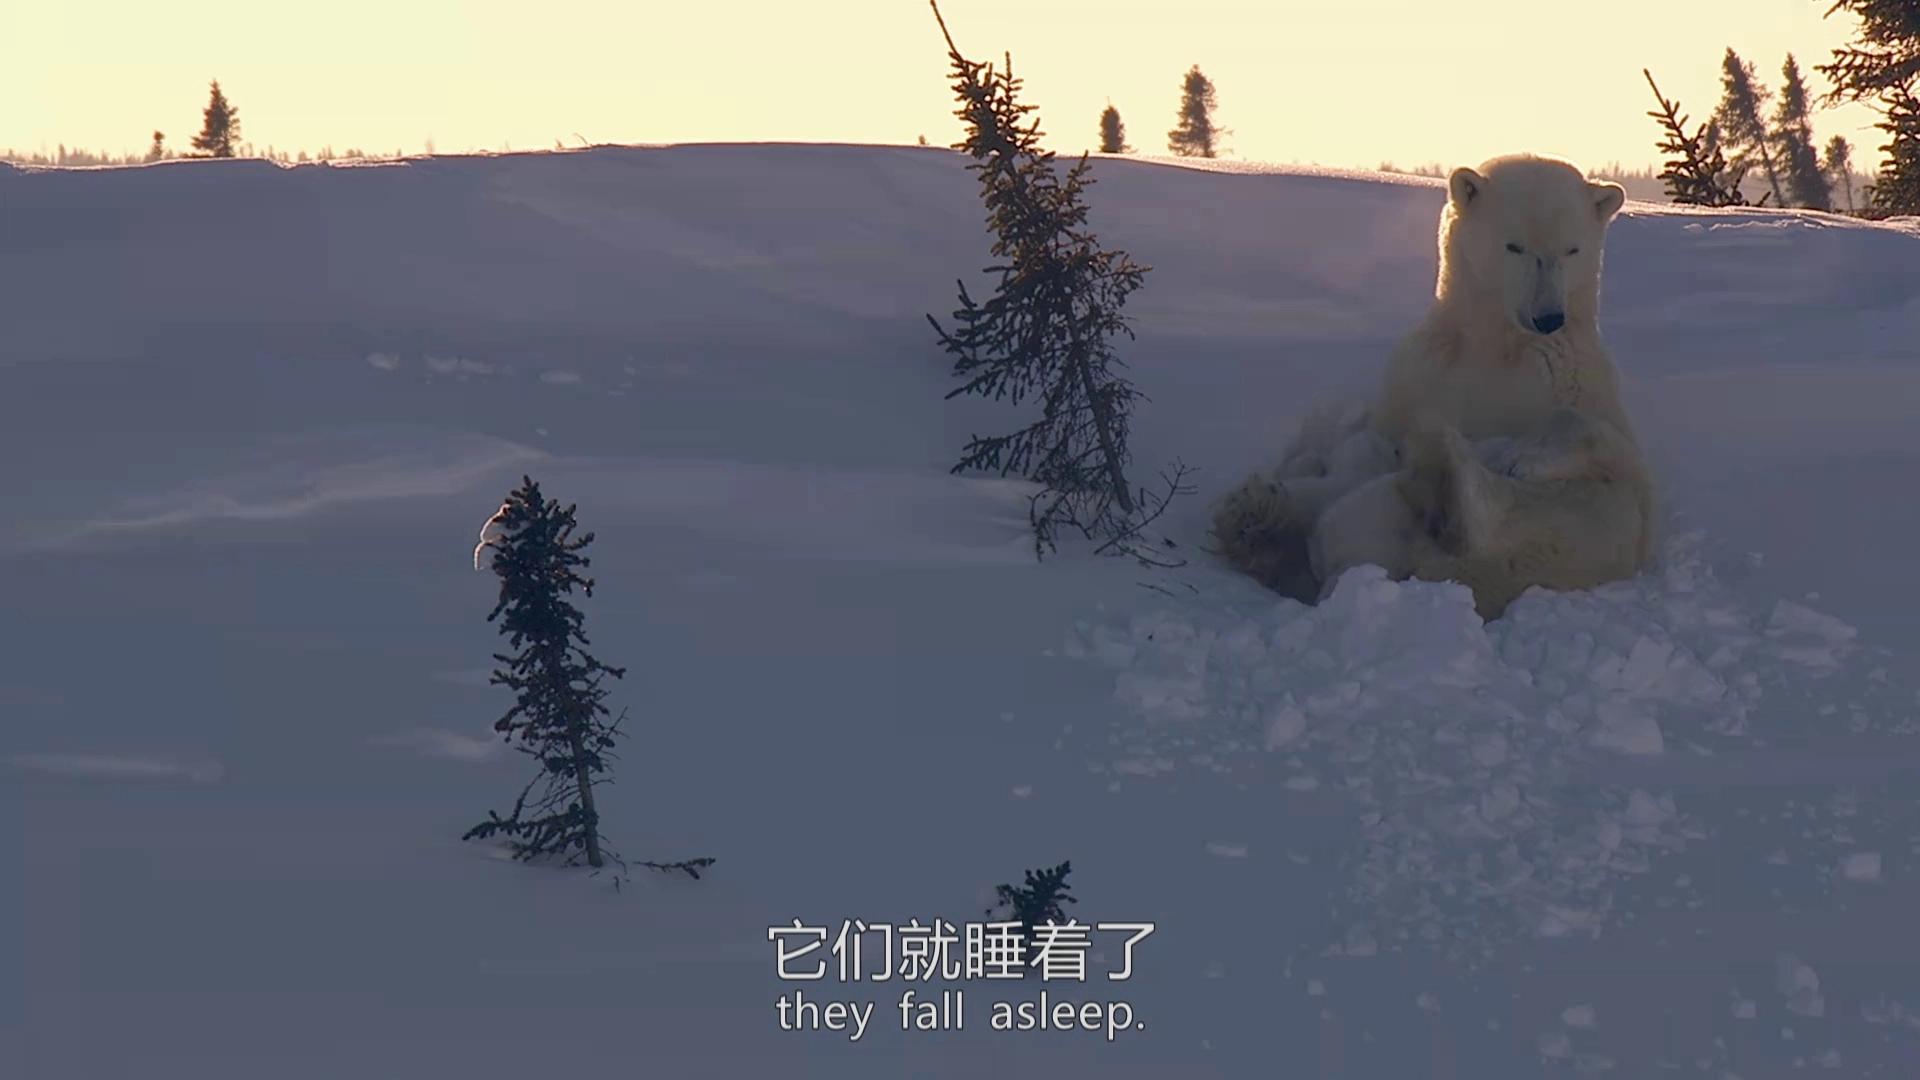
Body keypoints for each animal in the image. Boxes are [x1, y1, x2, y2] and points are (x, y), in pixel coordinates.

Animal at [1208, 152, 1655, 617]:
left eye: (1572, 249)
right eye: (1515, 246)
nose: (1548, 317)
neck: (1499, 346)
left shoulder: (1568, 380)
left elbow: (1593, 432)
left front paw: (1522, 457)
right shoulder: (1425, 372)